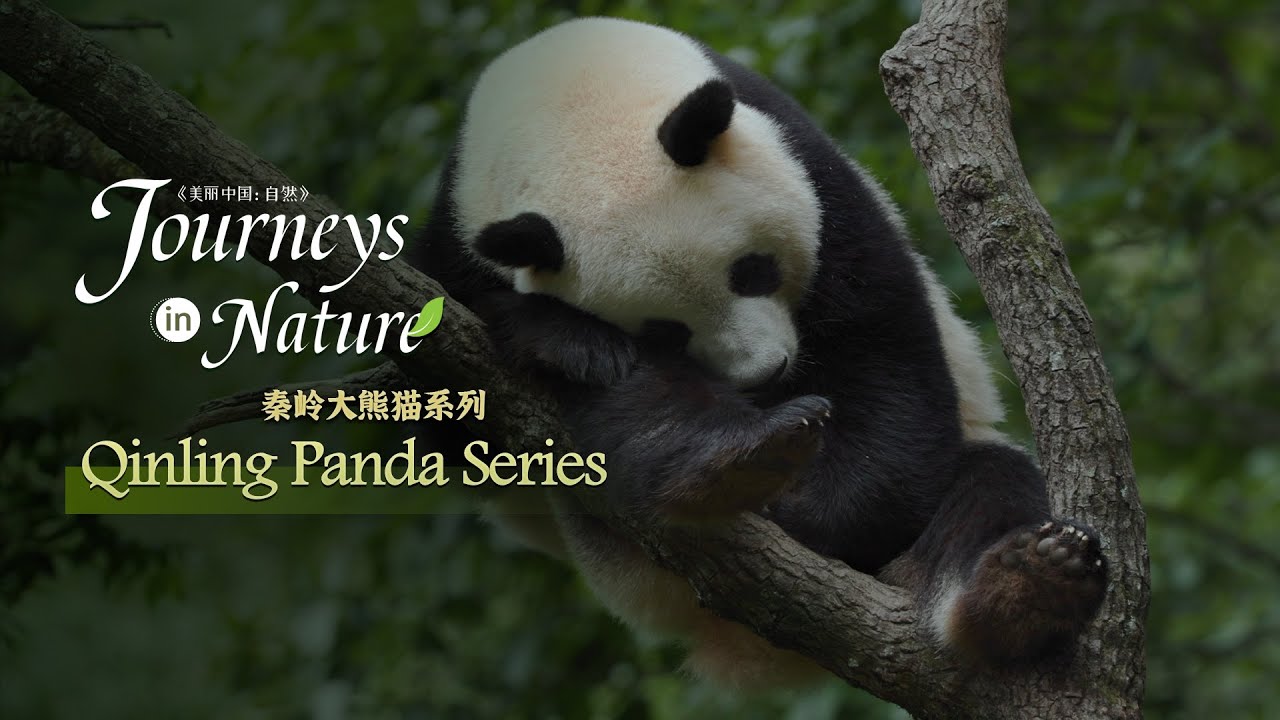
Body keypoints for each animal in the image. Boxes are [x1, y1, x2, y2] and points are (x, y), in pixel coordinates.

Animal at [414, 17, 1108, 686]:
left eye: (751, 270)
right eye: (665, 330)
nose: (769, 370)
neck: (568, 97)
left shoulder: (811, 173)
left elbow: (882, 355)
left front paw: (809, 511)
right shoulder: (458, 237)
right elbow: (453, 434)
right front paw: (565, 336)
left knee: (992, 481)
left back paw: (1023, 589)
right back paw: (732, 461)